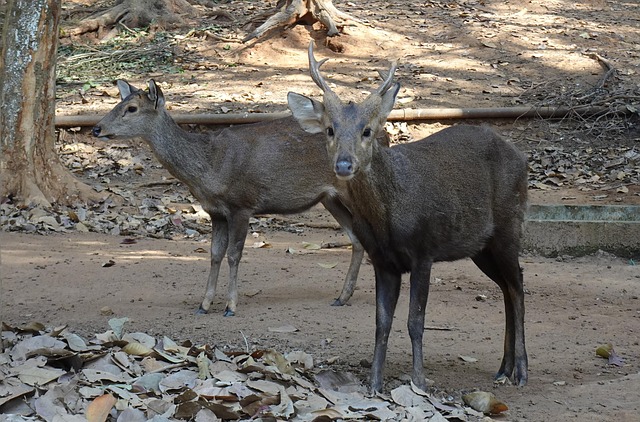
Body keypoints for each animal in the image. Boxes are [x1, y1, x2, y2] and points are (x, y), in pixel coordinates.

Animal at [92, 79, 368, 317]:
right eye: (118, 102)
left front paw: (230, 306)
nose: (97, 128)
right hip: (329, 198)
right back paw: (342, 296)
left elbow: (234, 255)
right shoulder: (215, 211)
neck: (209, 169)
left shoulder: (242, 205)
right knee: (356, 238)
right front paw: (204, 305)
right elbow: (215, 254)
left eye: (131, 108)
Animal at [287, 42, 529, 392]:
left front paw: (418, 382)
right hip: (481, 247)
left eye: (367, 131)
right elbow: (381, 322)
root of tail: (522, 158)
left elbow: (416, 321)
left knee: (518, 286)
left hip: (510, 224)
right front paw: (374, 384)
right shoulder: (382, 260)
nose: (344, 164)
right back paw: (503, 368)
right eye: (330, 130)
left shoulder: (423, 251)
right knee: (507, 289)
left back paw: (521, 371)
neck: (387, 221)